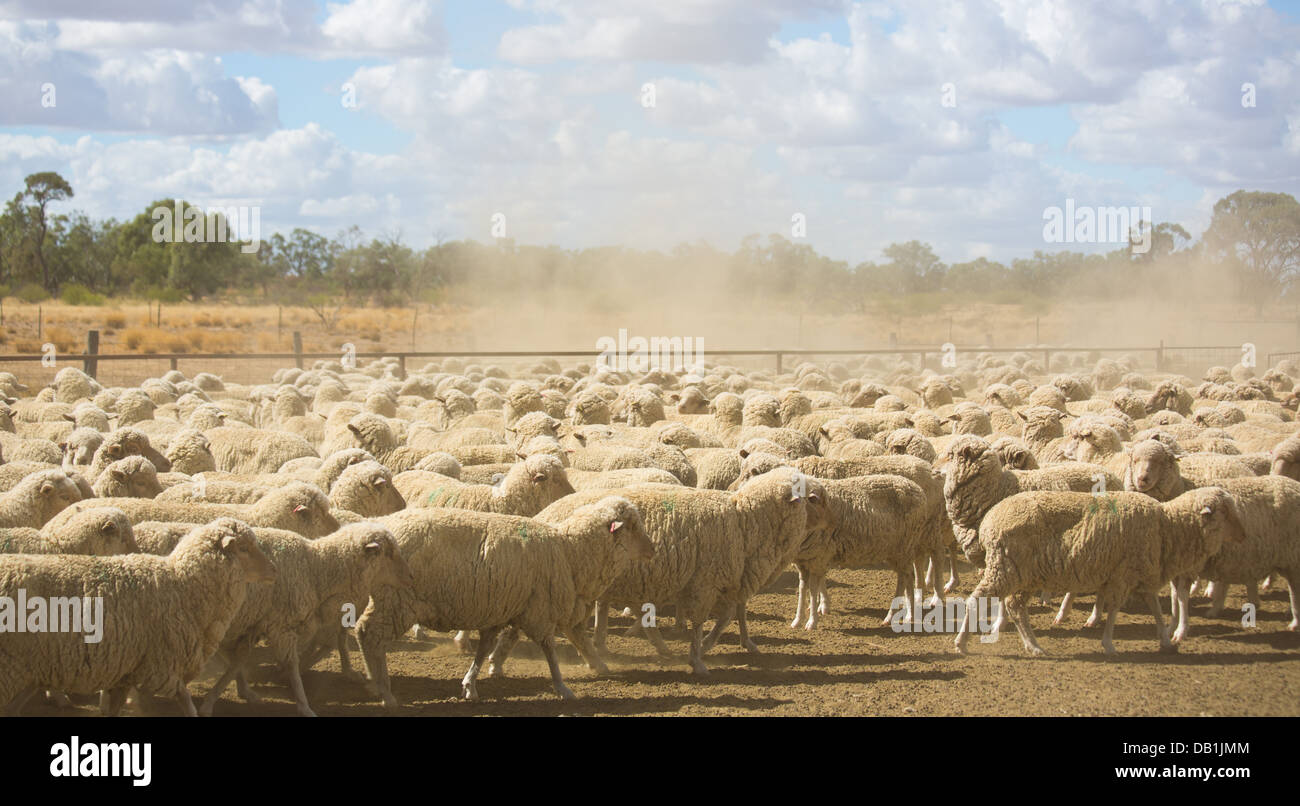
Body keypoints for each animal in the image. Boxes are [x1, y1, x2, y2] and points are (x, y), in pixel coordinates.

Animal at [0, 518, 276, 717]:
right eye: (244, 548)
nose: (273, 569)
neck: (183, 586)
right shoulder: (160, 665)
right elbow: (185, 698)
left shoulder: (125, 669)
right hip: (11, 669)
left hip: (31, 667)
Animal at [199, 522, 413, 717]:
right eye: (389, 553)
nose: (410, 577)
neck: (315, 569)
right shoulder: (282, 626)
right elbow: (291, 665)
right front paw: (304, 706)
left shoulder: (259, 623)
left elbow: (239, 660)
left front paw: (235, 691)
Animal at [355, 496, 652, 705]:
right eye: (633, 526)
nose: (651, 547)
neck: (570, 551)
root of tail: (382, 528)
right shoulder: (540, 611)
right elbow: (550, 651)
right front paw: (562, 688)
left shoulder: (502, 608)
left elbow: (485, 648)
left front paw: (470, 684)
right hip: (395, 600)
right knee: (368, 634)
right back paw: (383, 690)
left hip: (389, 600)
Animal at [955, 487, 1243, 655]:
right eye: (1225, 512)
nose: (1243, 534)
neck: (1169, 527)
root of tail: (989, 520)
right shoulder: (1122, 575)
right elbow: (1114, 610)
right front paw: (1109, 644)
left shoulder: (1139, 575)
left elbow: (1156, 609)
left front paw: (1166, 640)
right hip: (1007, 569)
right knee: (976, 600)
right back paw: (962, 643)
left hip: (1023, 574)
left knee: (1015, 607)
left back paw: (1033, 646)